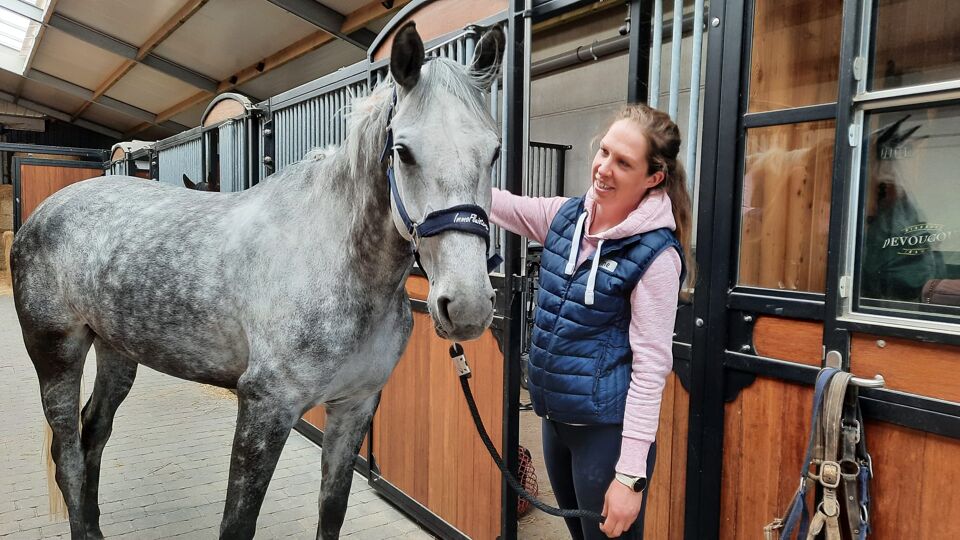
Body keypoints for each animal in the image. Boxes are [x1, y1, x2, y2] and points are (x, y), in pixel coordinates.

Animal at [11, 22, 504, 540]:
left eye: (494, 150)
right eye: (404, 151)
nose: (467, 306)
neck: (332, 260)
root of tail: (46, 211)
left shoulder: (354, 406)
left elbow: (332, 511)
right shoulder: (265, 407)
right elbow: (238, 521)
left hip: (117, 350)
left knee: (94, 432)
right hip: (56, 352)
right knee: (66, 453)